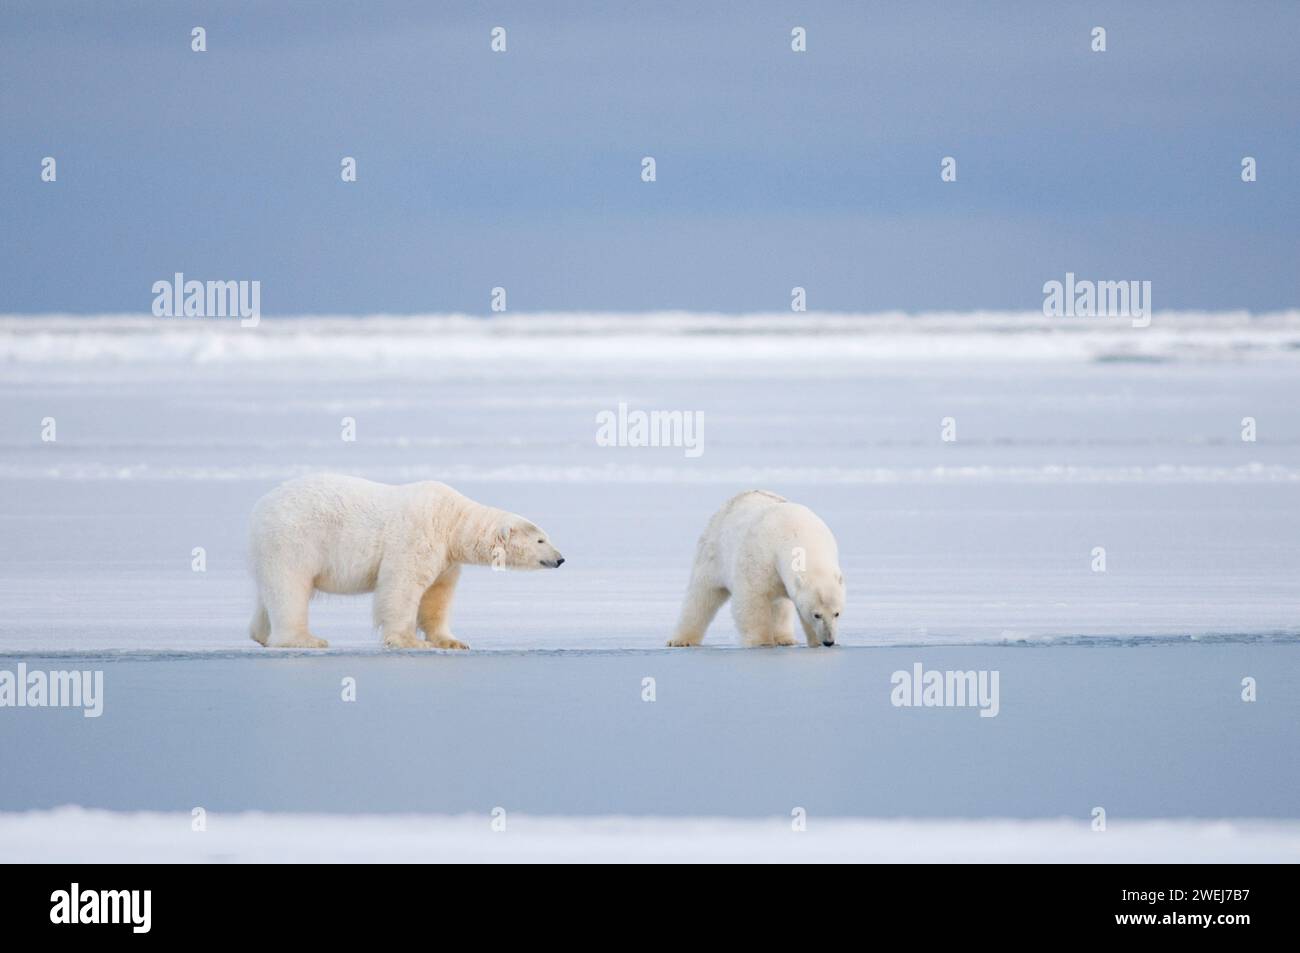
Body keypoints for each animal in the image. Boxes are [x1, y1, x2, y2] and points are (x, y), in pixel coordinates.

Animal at [248, 474, 564, 649]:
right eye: (541, 540)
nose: (560, 559)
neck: (451, 520)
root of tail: (260, 507)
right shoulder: (418, 536)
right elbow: (401, 586)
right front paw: (409, 640)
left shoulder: (446, 559)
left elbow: (437, 597)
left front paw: (453, 641)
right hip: (295, 540)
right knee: (290, 587)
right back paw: (306, 639)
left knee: (268, 594)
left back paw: (262, 635)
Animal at [668, 490, 844, 648]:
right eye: (817, 615)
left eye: (837, 613)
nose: (828, 641)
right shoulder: (760, 558)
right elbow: (752, 600)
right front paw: (762, 642)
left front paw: (815, 642)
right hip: (713, 554)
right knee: (701, 596)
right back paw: (681, 640)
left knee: (780, 606)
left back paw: (785, 638)